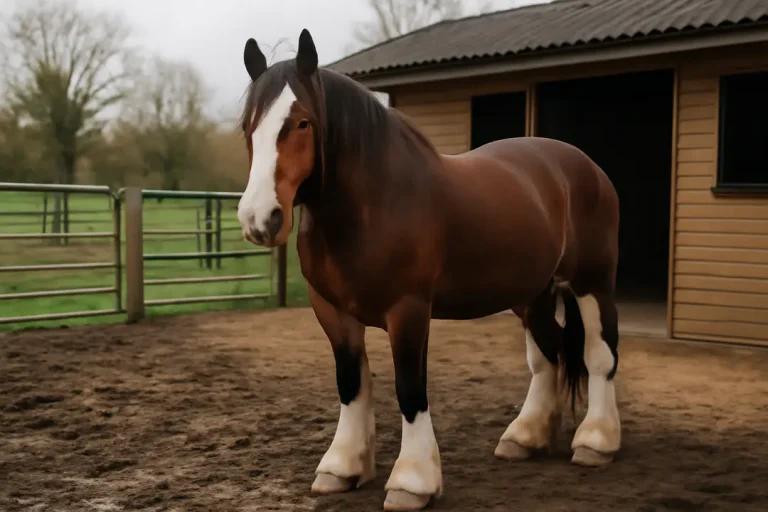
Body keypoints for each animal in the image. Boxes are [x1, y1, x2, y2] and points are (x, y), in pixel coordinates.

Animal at [236, 29, 622, 511]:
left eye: (302, 122)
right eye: (248, 126)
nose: (259, 219)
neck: (373, 203)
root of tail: (588, 168)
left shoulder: (409, 310)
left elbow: (409, 389)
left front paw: (412, 481)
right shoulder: (332, 311)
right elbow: (351, 383)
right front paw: (342, 467)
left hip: (592, 282)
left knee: (599, 353)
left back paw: (596, 441)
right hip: (532, 293)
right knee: (547, 354)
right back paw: (526, 436)